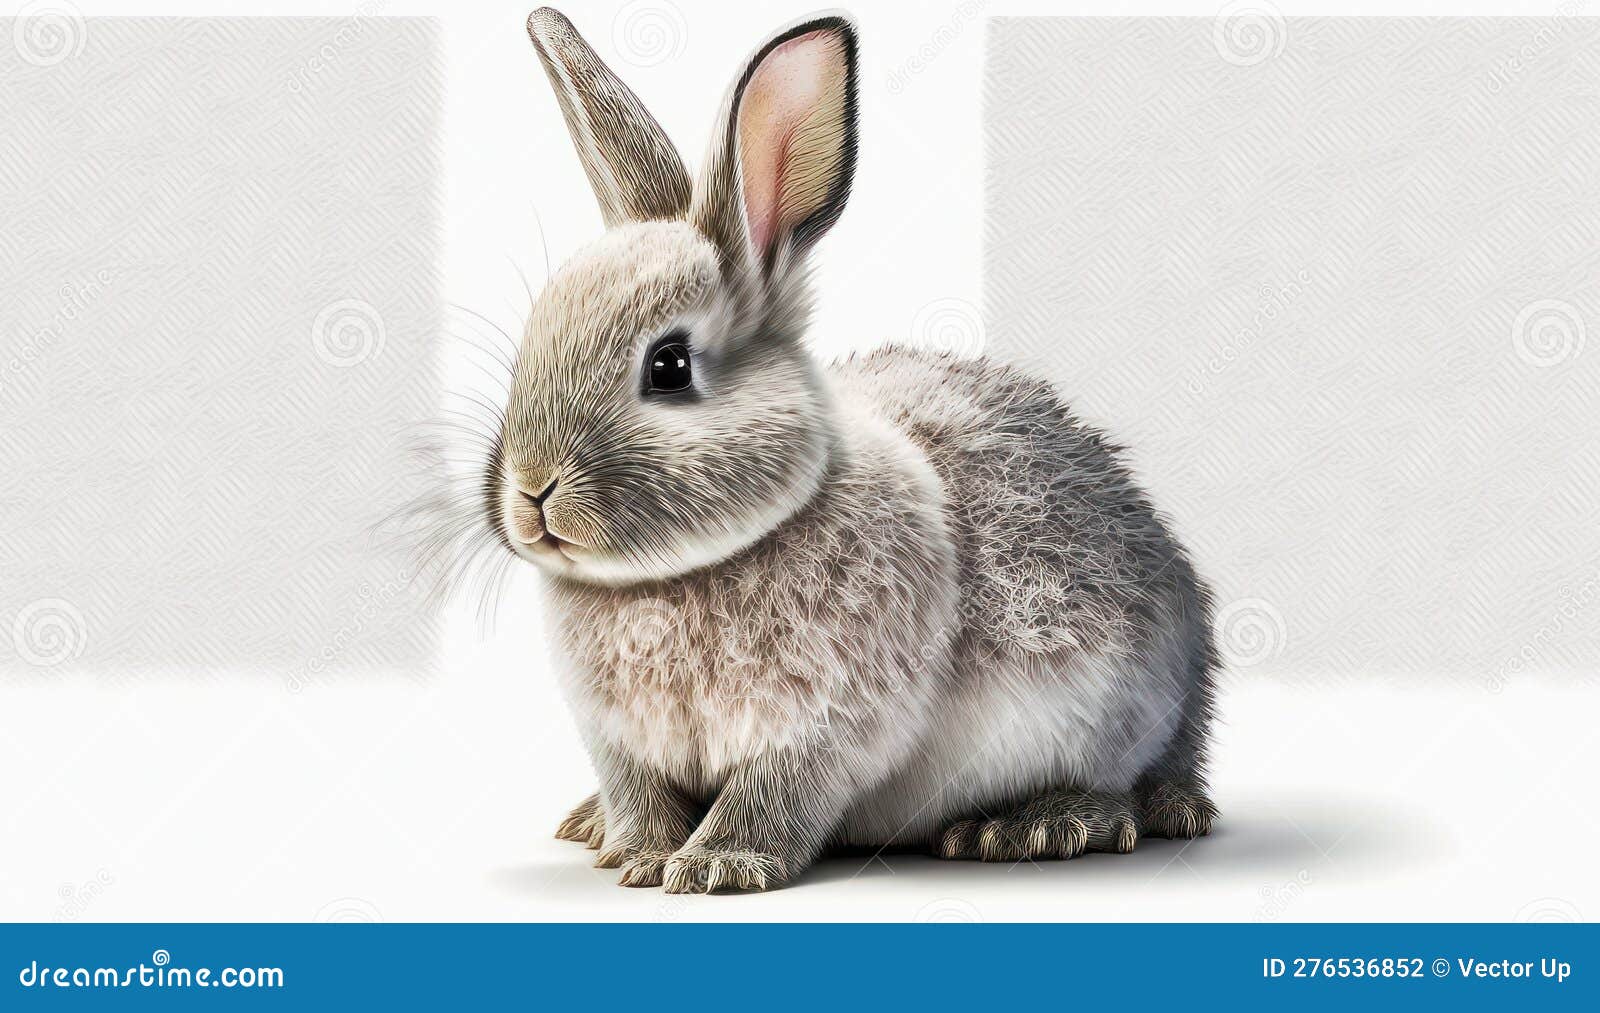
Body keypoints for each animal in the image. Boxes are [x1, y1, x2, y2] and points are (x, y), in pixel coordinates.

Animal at [498, 7, 1218, 893]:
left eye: (668, 366)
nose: (531, 493)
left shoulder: (825, 723)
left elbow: (775, 792)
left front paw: (718, 865)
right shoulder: (618, 741)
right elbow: (640, 793)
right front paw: (633, 852)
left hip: (1120, 703)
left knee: (1119, 791)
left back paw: (1034, 825)